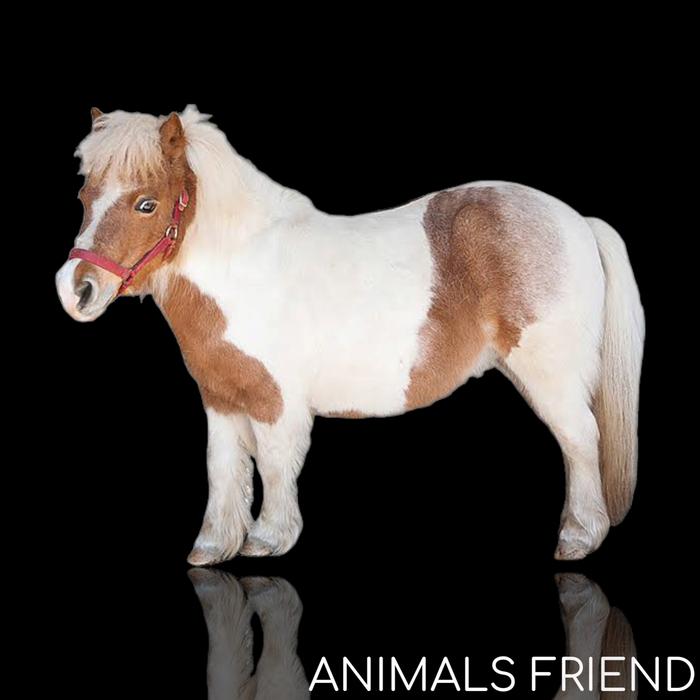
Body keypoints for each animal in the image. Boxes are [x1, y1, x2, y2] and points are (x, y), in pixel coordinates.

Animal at [56, 106, 644, 566]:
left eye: (146, 204)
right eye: (84, 195)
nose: (75, 290)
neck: (244, 263)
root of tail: (578, 221)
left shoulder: (275, 401)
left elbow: (275, 464)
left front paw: (267, 539)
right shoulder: (221, 398)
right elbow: (223, 468)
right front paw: (213, 547)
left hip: (550, 376)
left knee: (580, 441)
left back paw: (578, 539)